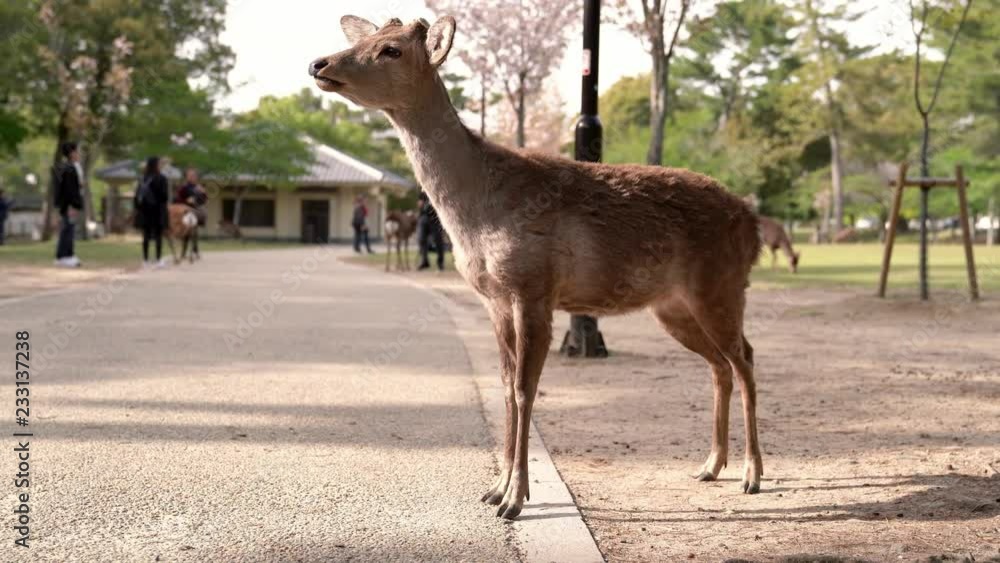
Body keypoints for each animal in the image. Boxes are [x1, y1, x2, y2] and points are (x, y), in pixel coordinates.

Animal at [310, 15, 764, 520]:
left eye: (391, 49)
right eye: (365, 37)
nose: (319, 64)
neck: (476, 218)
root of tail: (753, 222)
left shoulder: (534, 287)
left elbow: (527, 390)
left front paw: (515, 499)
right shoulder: (495, 299)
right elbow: (507, 386)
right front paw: (495, 489)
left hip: (720, 285)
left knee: (746, 357)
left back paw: (752, 475)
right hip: (673, 307)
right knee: (720, 364)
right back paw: (711, 466)